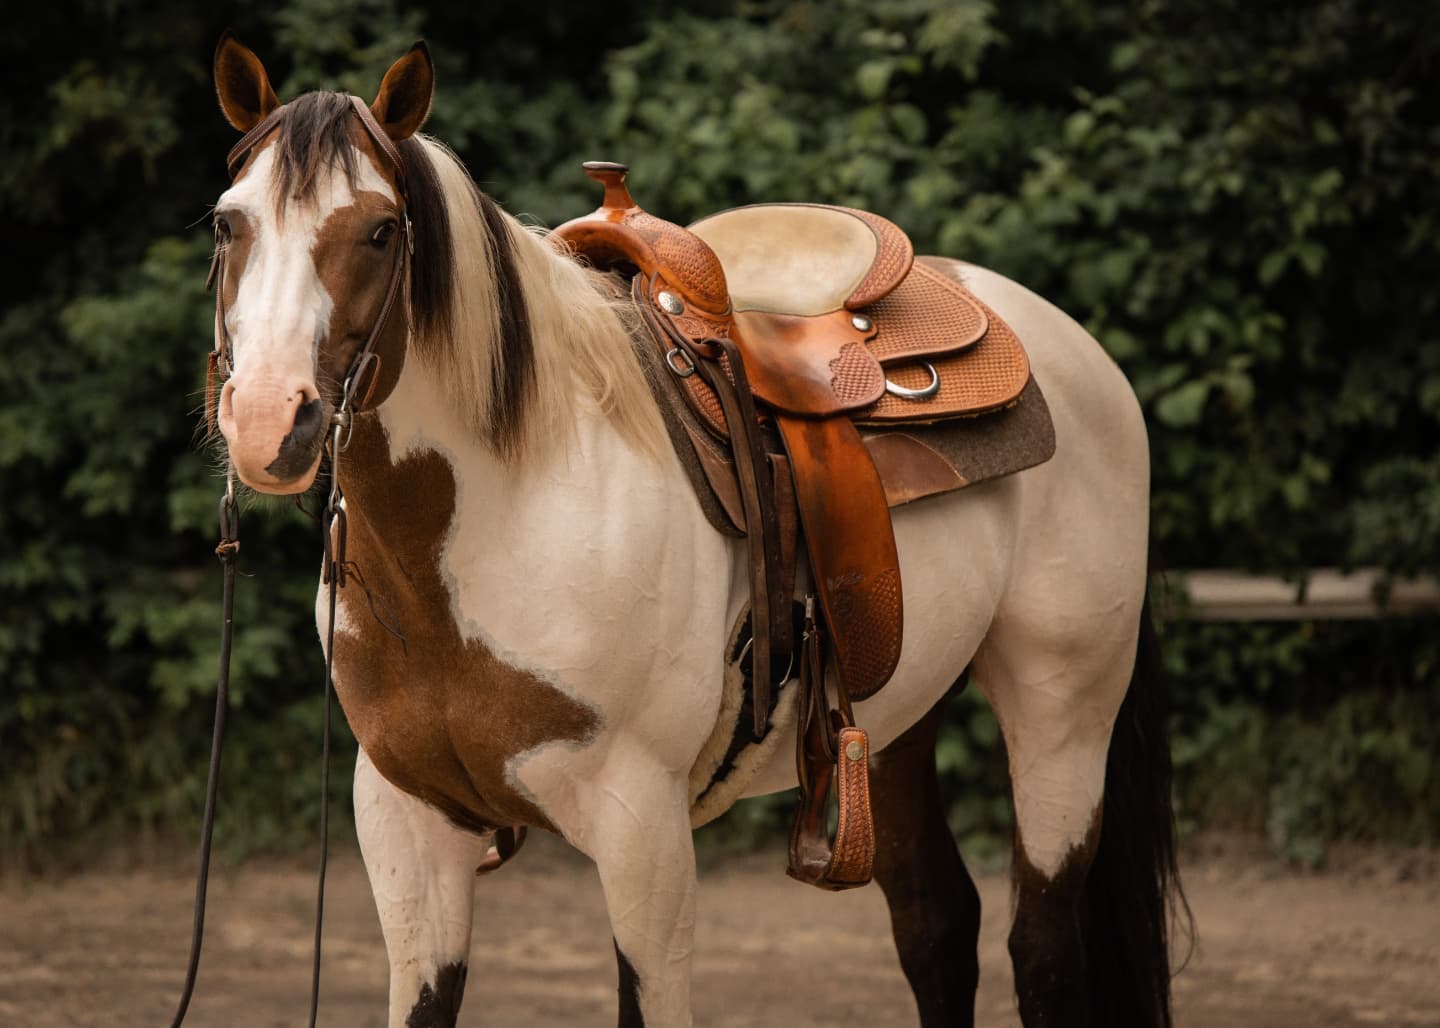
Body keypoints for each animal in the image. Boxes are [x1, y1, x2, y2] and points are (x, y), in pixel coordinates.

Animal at [207, 33, 1184, 1028]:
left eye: (379, 231)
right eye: (226, 225)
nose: (268, 421)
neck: (504, 512)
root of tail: (1073, 348)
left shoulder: (641, 826)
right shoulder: (406, 820)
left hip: (1062, 717)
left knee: (1044, 951)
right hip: (902, 715)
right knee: (939, 926)